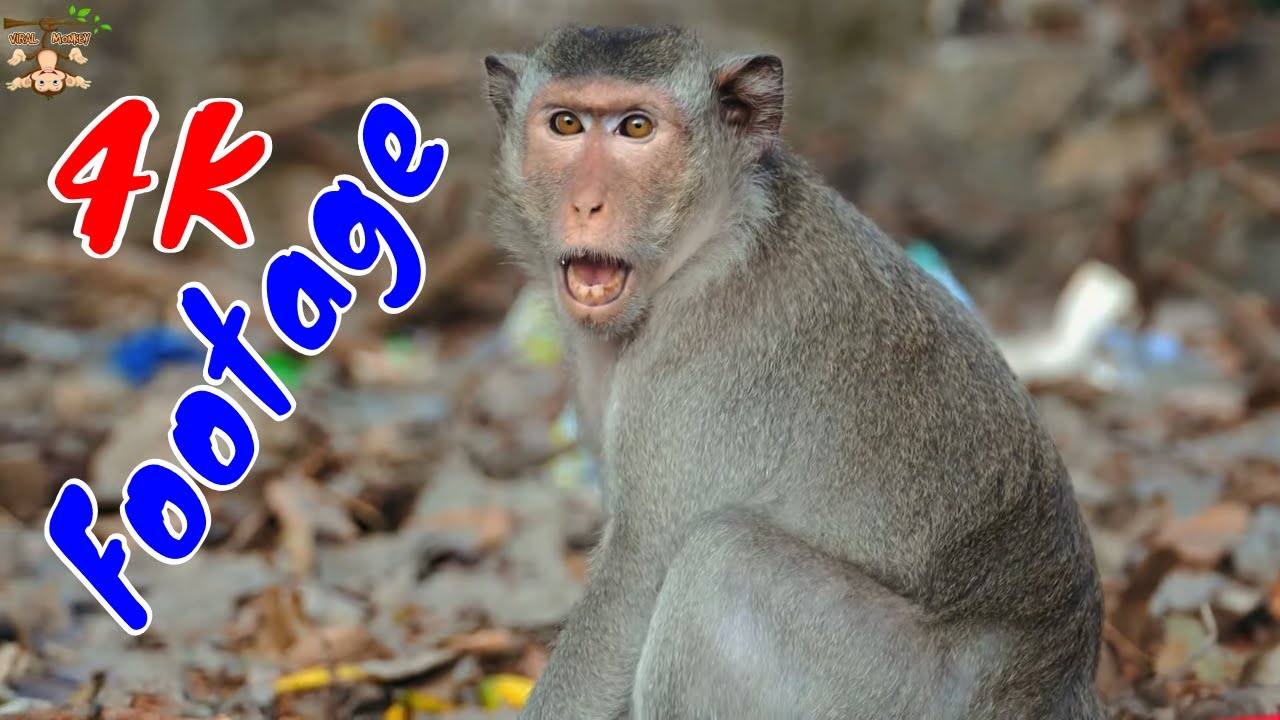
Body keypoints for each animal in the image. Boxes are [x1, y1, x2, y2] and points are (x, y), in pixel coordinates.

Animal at [482, 24, 1106, 720]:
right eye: (565, 123)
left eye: (635, 128)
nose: (587, 204)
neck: (712, 242)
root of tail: (1053, 685)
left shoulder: (694, 372)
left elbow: (636, 578)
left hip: (883, 685)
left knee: (720, 563)